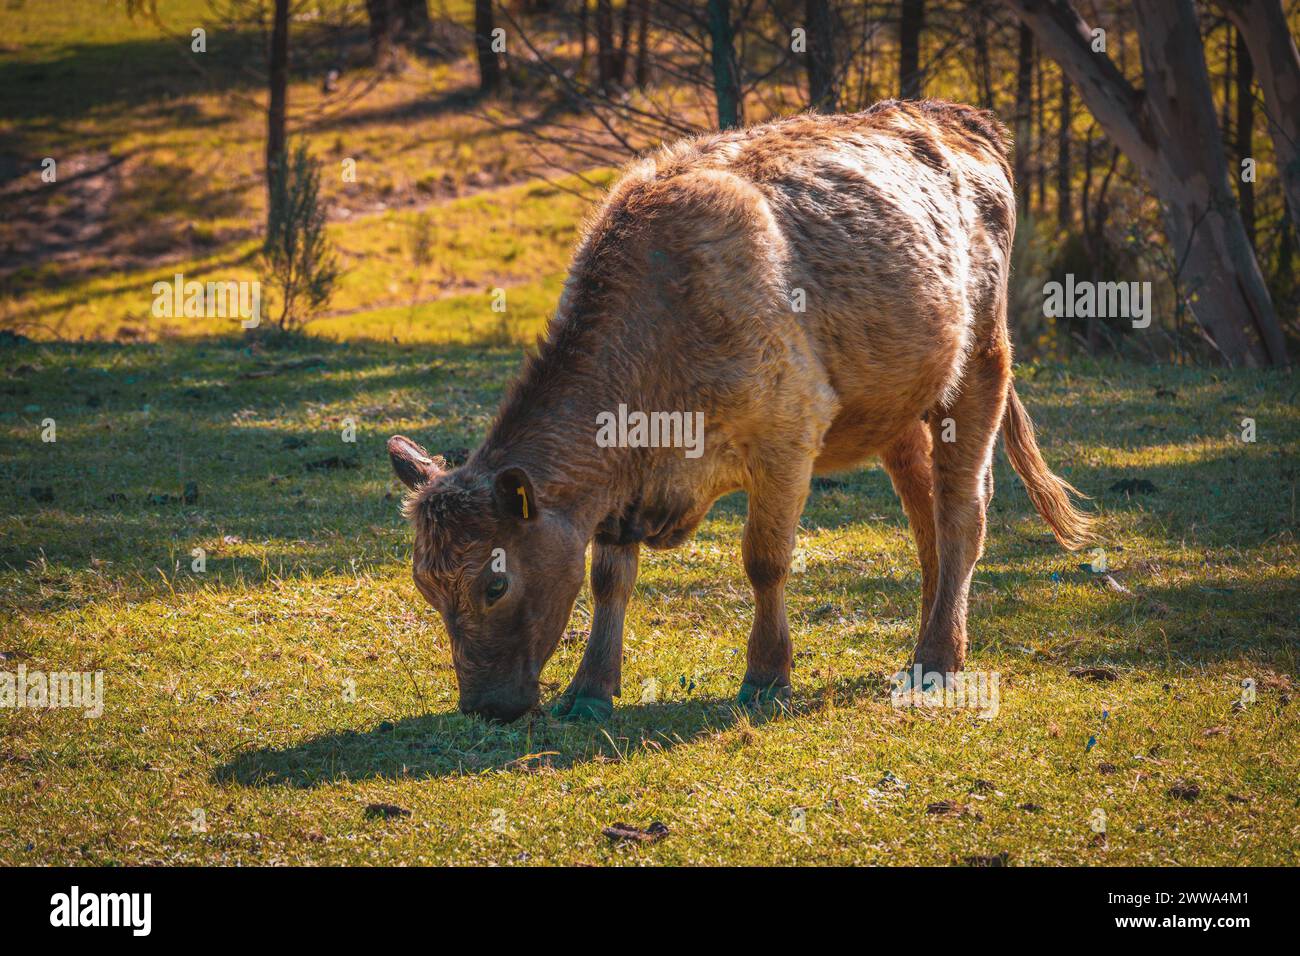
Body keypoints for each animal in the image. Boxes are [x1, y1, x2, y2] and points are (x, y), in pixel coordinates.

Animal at [387, 99, 1092, 722]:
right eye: (426, 586)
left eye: (495, 584)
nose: (485, 708)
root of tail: (956, 117)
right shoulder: (619, 488)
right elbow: (609, 576)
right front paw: (590, 689)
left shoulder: (786, 440)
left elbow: (764, 559)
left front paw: (765, 677)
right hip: (897, 405)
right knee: (926, 519)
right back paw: (930, 644)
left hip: (981, 366)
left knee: (962, 511)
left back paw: (939, 661)